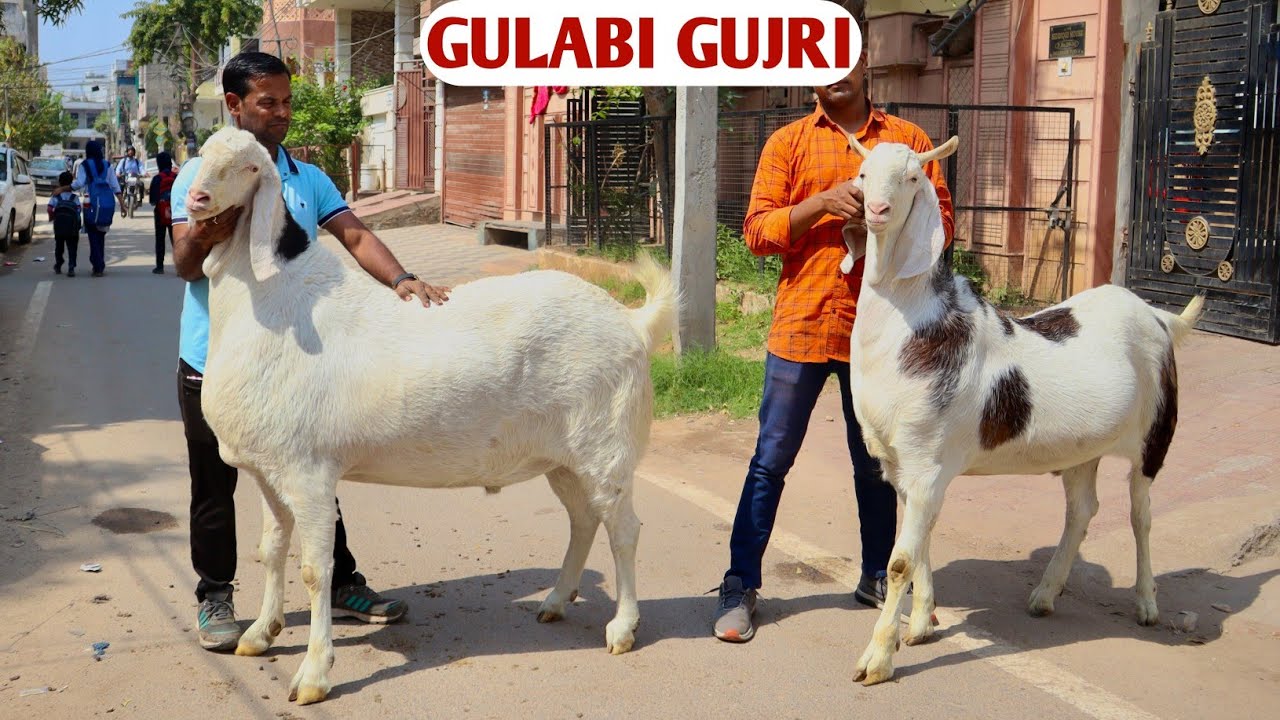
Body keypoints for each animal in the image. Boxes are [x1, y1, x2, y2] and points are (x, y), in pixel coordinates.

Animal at [185, 127, 677, 705]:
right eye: (201, 156)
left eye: (247, 168)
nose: (197, 200)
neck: (272, 301)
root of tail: (632, 322)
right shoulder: (269, 471)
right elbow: (270, 549)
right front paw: (261, 634)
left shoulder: (309, 472)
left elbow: (314, 569)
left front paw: (312, 675)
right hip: (564, 458)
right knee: (583, 519)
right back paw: (556, 600)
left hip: (606, 447)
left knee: (623, 529)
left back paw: (622, 628)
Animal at [837, 135, 1204, 686]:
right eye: (862, 174)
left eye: (913, 178)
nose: (877, 211)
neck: (913, 326)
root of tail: (1158, 316)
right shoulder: (904, 466)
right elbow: (920, 546)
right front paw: (920, 626)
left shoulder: (926, 460)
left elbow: (901, 561)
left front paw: (876, 661)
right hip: (1082, 451)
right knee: (1082, 509)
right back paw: (1045, 595)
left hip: (1155, 433)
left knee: (1140, 513)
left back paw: (1146, 604)